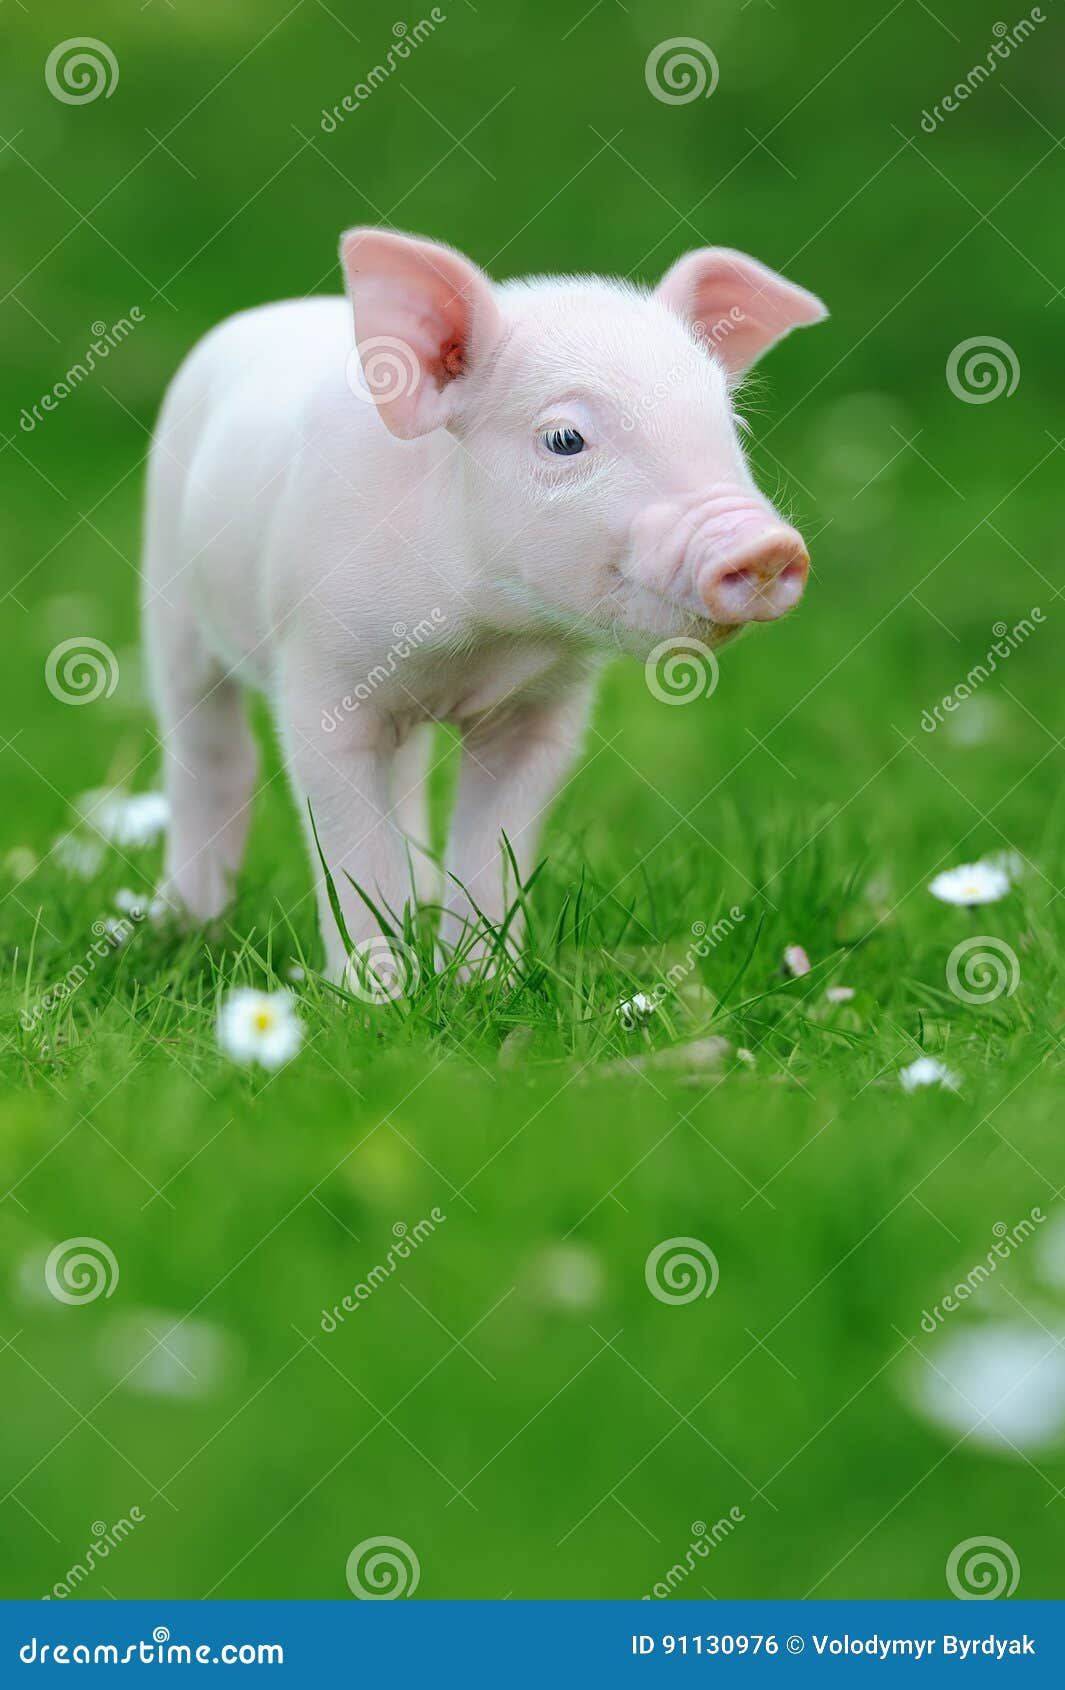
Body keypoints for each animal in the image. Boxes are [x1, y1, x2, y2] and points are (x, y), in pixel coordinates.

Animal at [143, 228, 826, 984]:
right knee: (212, 754)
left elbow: (494, 843)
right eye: (564, 439)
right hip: (168, 592)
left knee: (405, 777)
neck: (479, 639)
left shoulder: (539, 711)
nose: (766, 545)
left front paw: (481, 984)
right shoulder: (321, 673)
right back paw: (184, 929)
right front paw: (378, 992)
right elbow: (348, 839)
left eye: (729, 424)